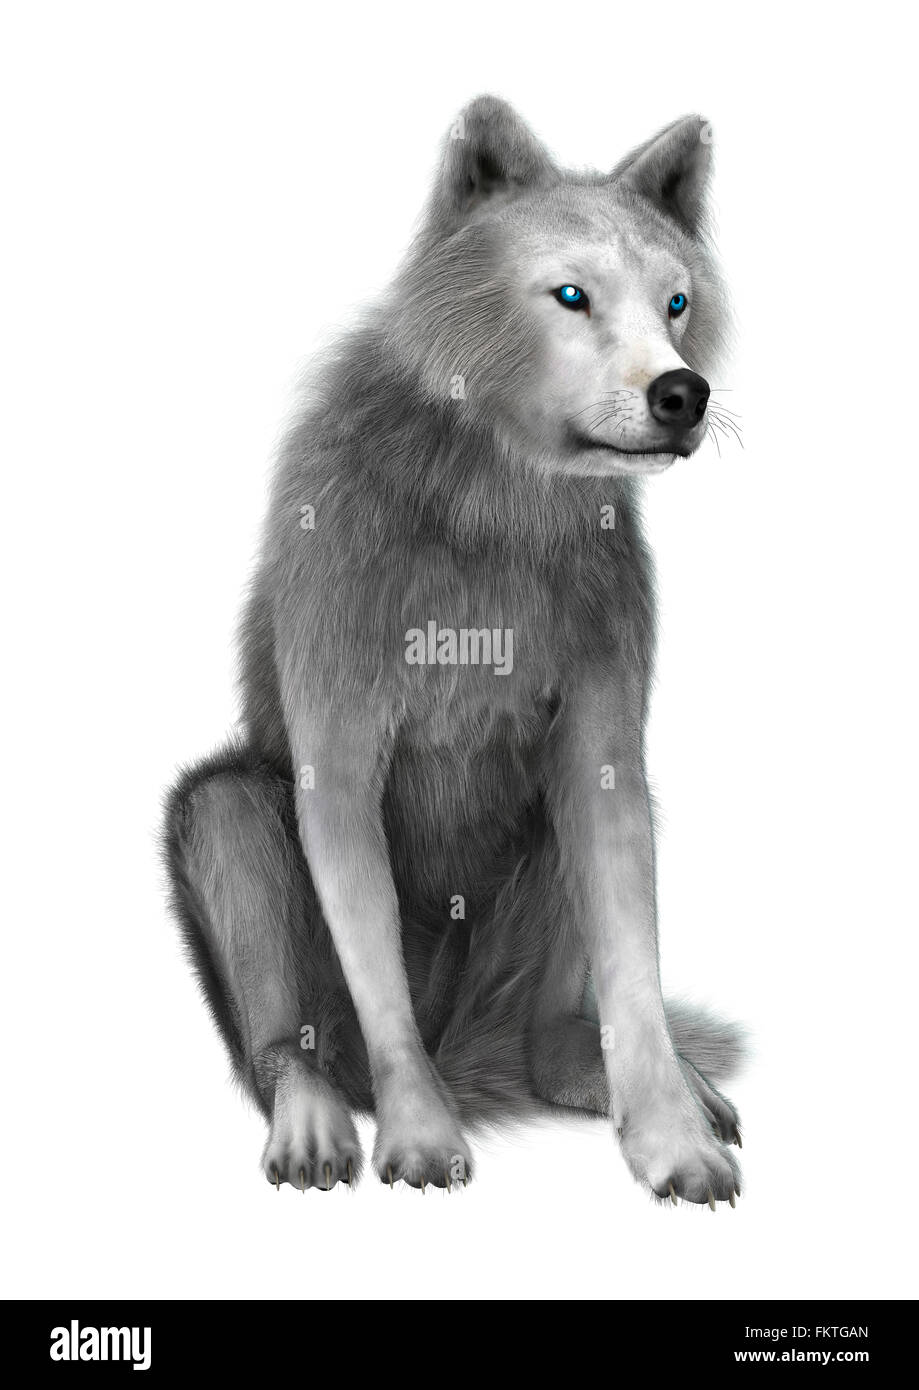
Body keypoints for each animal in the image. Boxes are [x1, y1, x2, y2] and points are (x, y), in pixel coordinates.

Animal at [164, 96, 744, 1206]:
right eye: (572, 295)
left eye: (676, 304)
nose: (681, 394)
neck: (494, 505)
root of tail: (470, 1042)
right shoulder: (337, 751)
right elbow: (377, 977)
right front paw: (421, 1137)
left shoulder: (603, 744)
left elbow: (635, 976)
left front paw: (674, 1141)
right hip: (227, 811)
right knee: (287, 1043)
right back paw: (316, 1121)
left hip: (560, 837)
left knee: (549, 1038)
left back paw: (615, 1077)